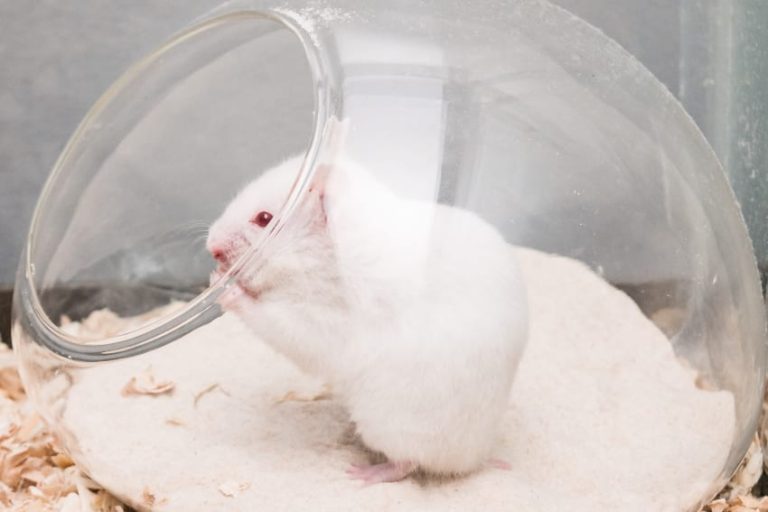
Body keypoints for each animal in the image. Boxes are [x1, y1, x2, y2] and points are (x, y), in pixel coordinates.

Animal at [206, 152, 528, 484]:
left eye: (264, 218)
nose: (210, 246)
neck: (322, 256)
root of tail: (476, 460)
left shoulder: (319, 324)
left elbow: (274, 321)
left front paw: (220, 285)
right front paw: (215, 276)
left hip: (389, 425)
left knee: (407, 464)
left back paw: (361, 473)